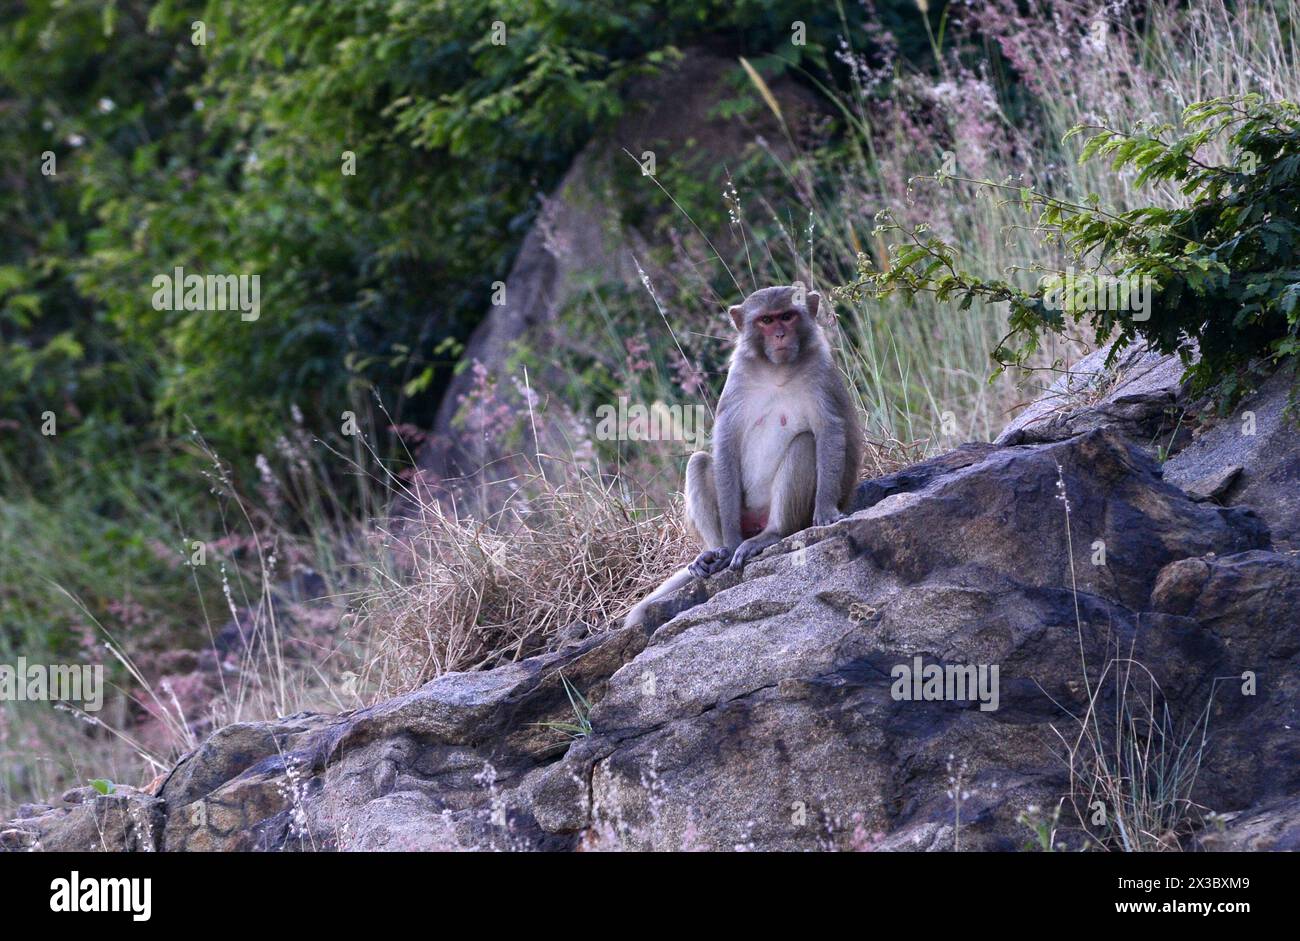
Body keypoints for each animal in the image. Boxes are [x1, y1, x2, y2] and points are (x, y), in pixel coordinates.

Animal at [624, 285, 863, 628]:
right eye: (766, 320)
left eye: (788, 316)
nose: (779, 335)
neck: (777, 370)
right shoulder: (737, 378)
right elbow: (725, 446)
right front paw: (729, 545)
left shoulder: (821, 372)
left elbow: (829, 431)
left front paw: (827, 511)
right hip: (742, 513)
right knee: (700, 462)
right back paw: (716, 553)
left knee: (804, 444)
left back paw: (772, 534)